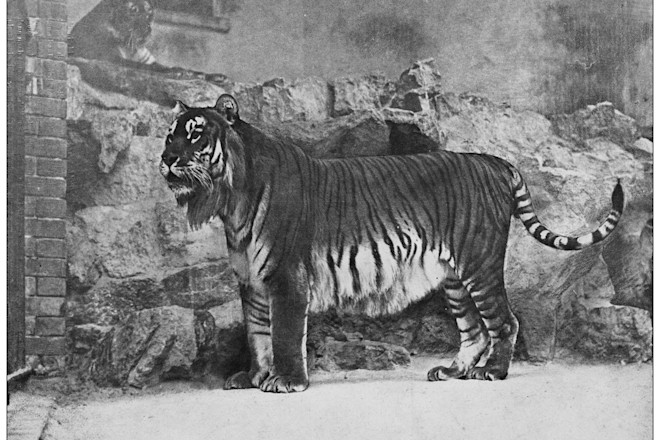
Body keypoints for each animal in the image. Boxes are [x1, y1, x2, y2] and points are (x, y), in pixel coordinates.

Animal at [159, 94, 624, 393]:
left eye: (196, 134)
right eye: (169, 136)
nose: (166, 159)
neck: (231, 200)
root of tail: (494, 161)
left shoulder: (285, 277)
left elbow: (285, 334)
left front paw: (287, 382)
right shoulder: (251, 280)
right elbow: (257, 333)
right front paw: (253, 377)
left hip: (480, 263)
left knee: (504, 322)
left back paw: (492, 372)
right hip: (454, 278)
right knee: (473, 330)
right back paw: (451, 372)